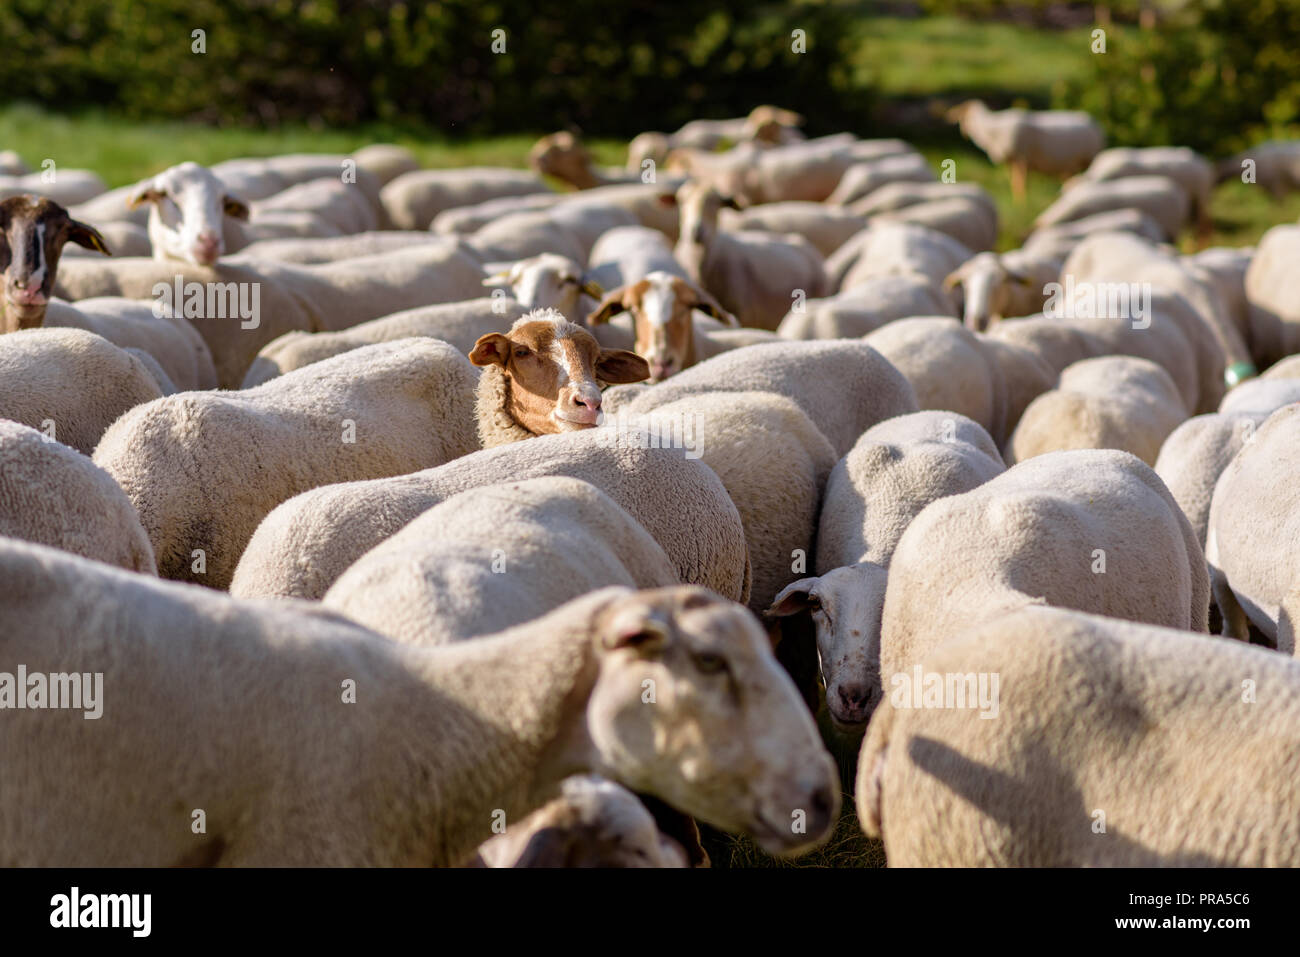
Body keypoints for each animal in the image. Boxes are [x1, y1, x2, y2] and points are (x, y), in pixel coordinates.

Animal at [947, 99, 1104, 200]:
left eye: (963, 117)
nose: (964, 133)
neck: (993, 130)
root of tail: (1095, 124)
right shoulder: (1012, 161)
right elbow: (1014, 183)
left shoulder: (1021, 157)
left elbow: (1020, 184)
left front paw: (1022, 204)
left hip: (1089, 159)